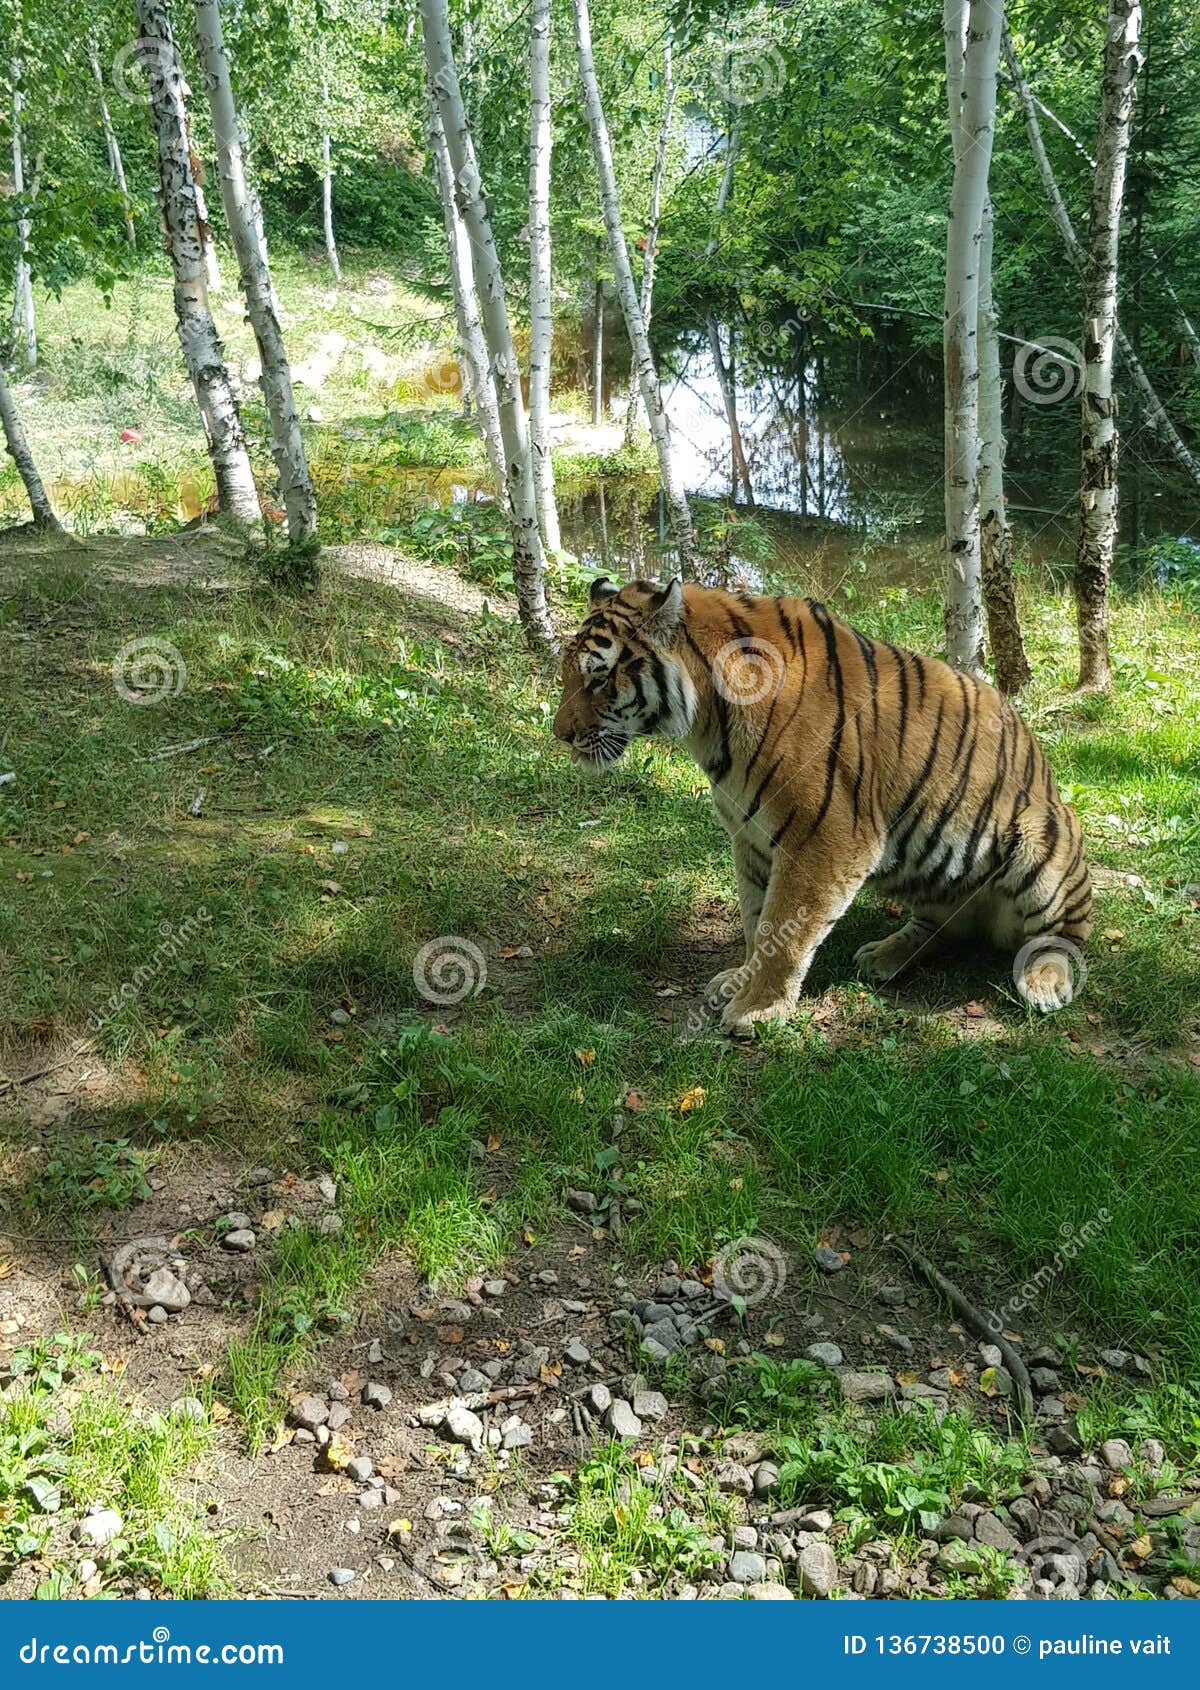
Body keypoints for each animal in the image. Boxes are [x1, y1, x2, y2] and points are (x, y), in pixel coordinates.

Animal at [552, 575, 1092, 1035]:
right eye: (566, 677)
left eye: (598, 679)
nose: (561, 736)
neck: (708, 723)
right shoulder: (750, 835)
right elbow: (755, 921)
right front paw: (738, 982)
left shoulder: (825, 837)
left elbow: (784, 932)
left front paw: (757, 1008)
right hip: (927, 872)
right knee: (944, 926)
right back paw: (883, 955)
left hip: (1042, 837)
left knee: (1065, 933)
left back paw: (1044, 981)